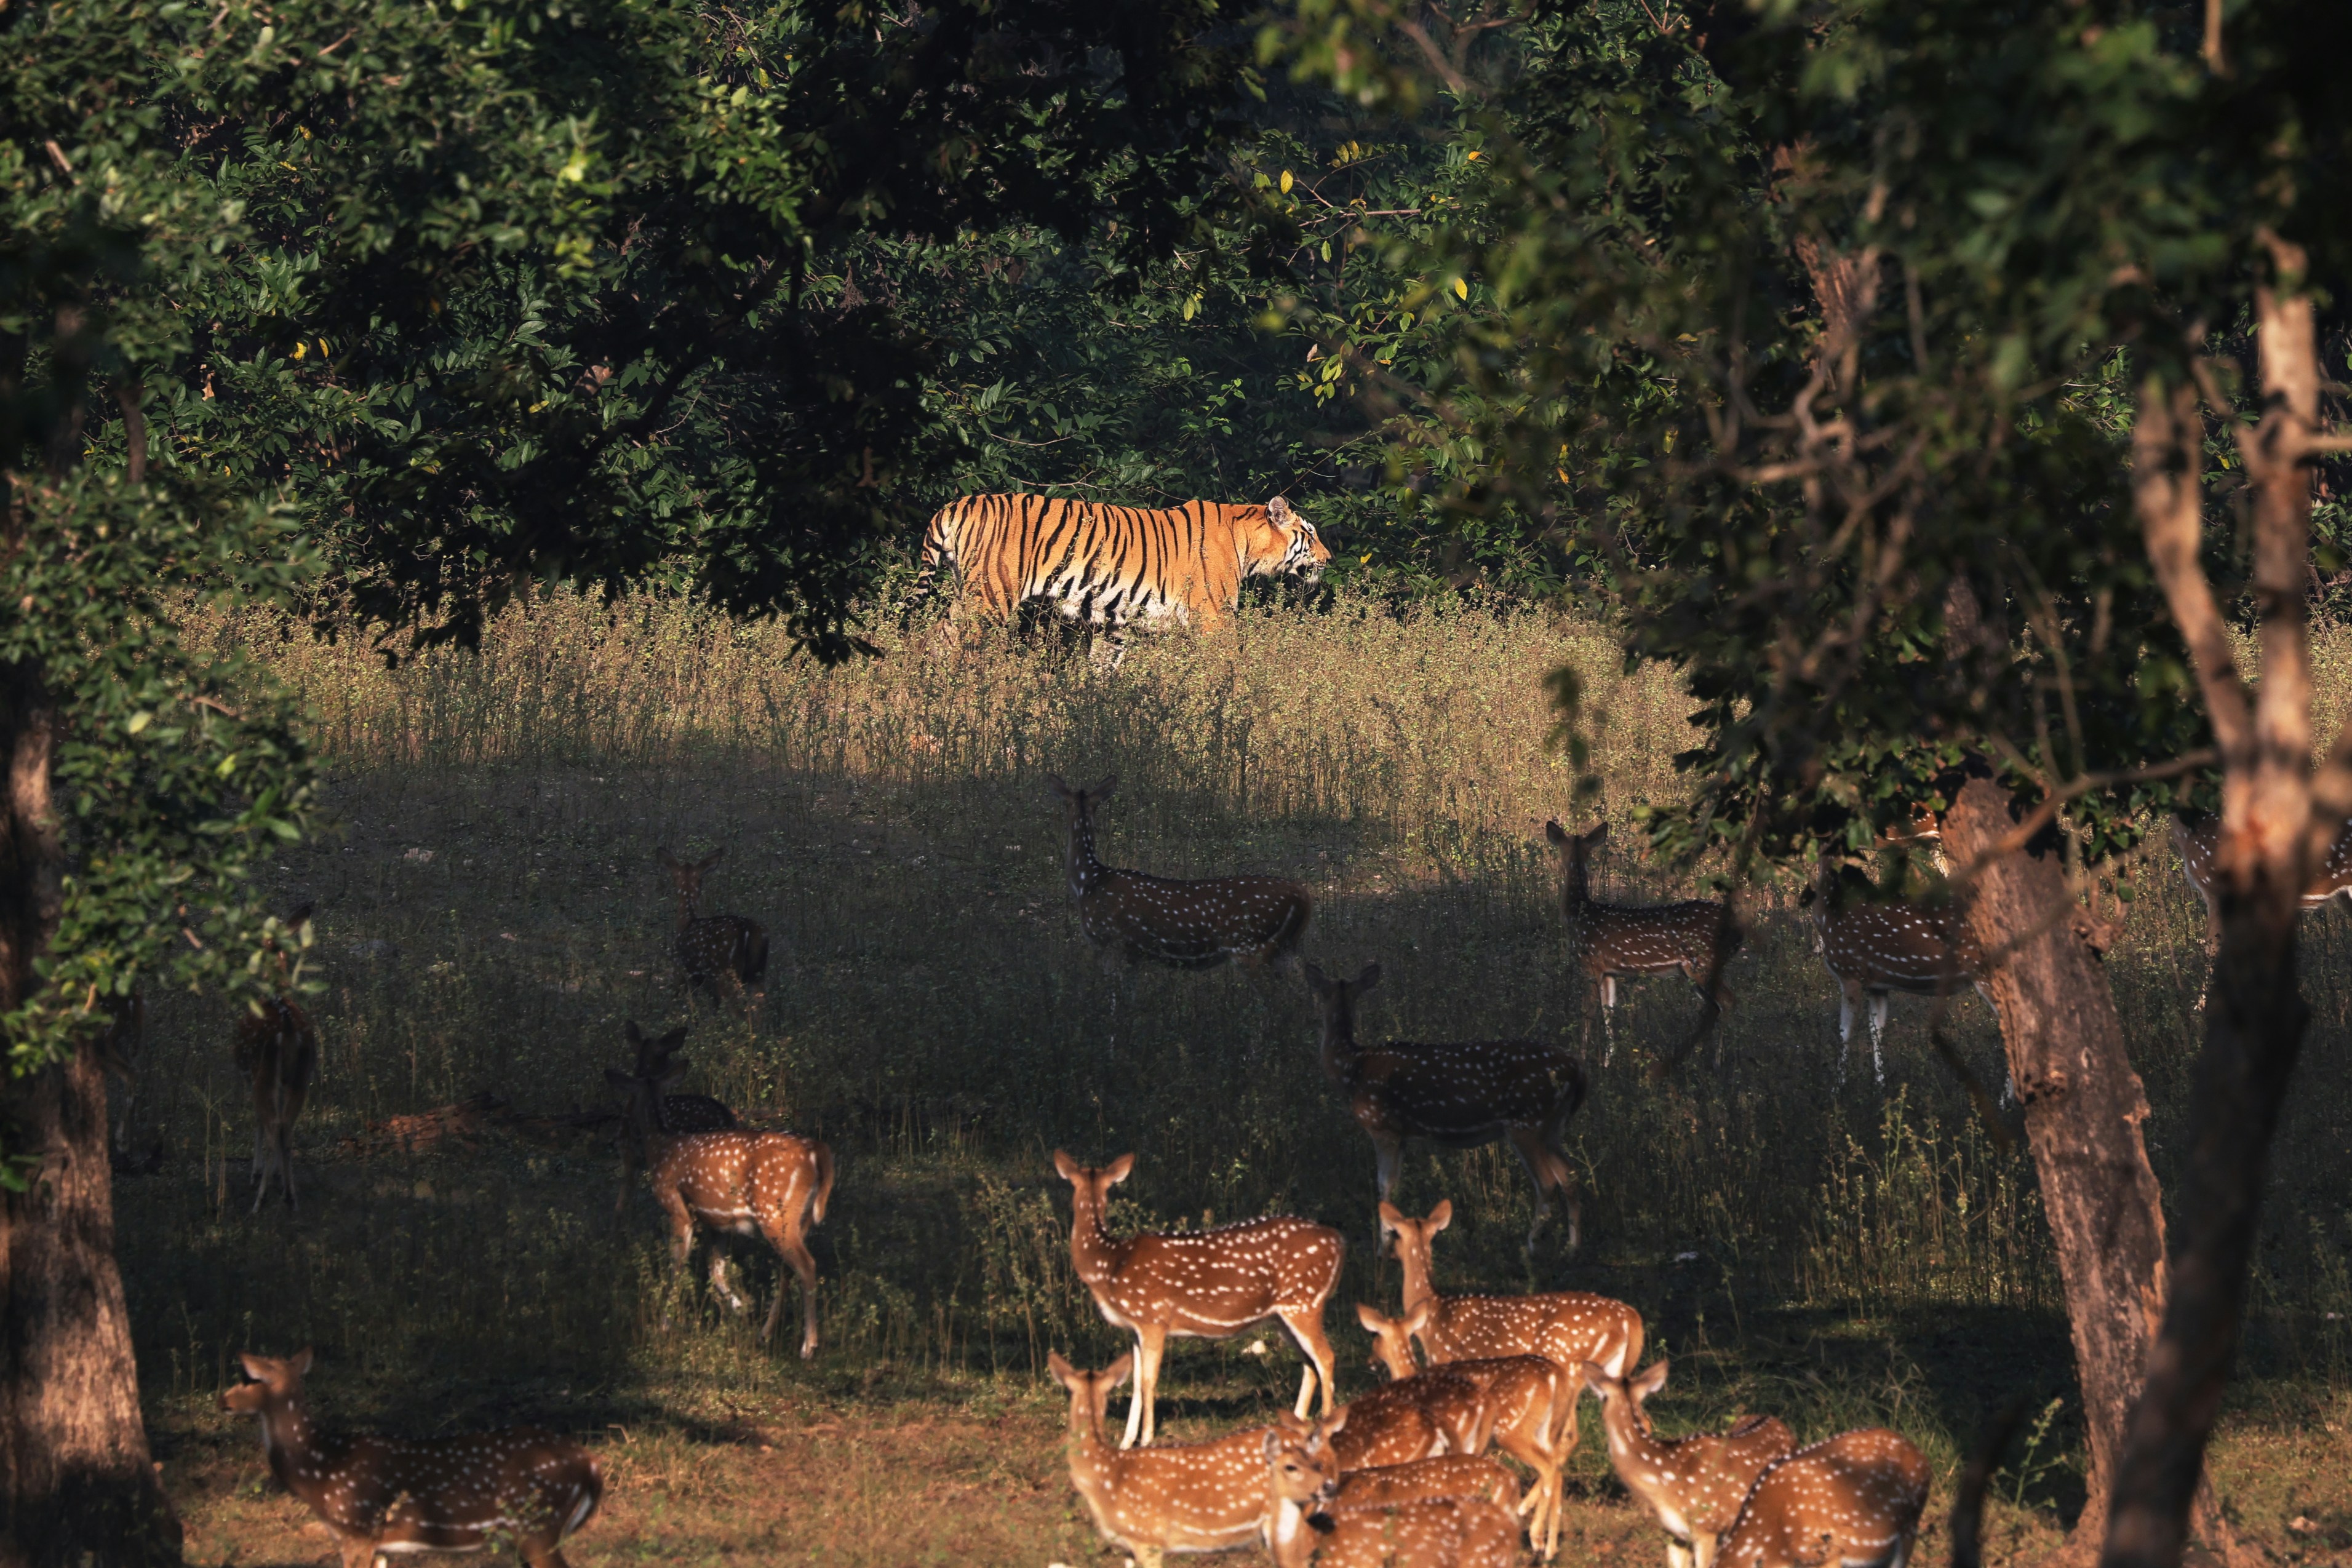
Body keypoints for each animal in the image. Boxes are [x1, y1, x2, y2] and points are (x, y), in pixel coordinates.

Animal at [912, 493, 1331, 665]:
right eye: (1310, 535)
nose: (1329, 560)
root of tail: (956, 504)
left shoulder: (1112, 624)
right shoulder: (1214, 620)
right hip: (988, 596)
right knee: (940, 642)